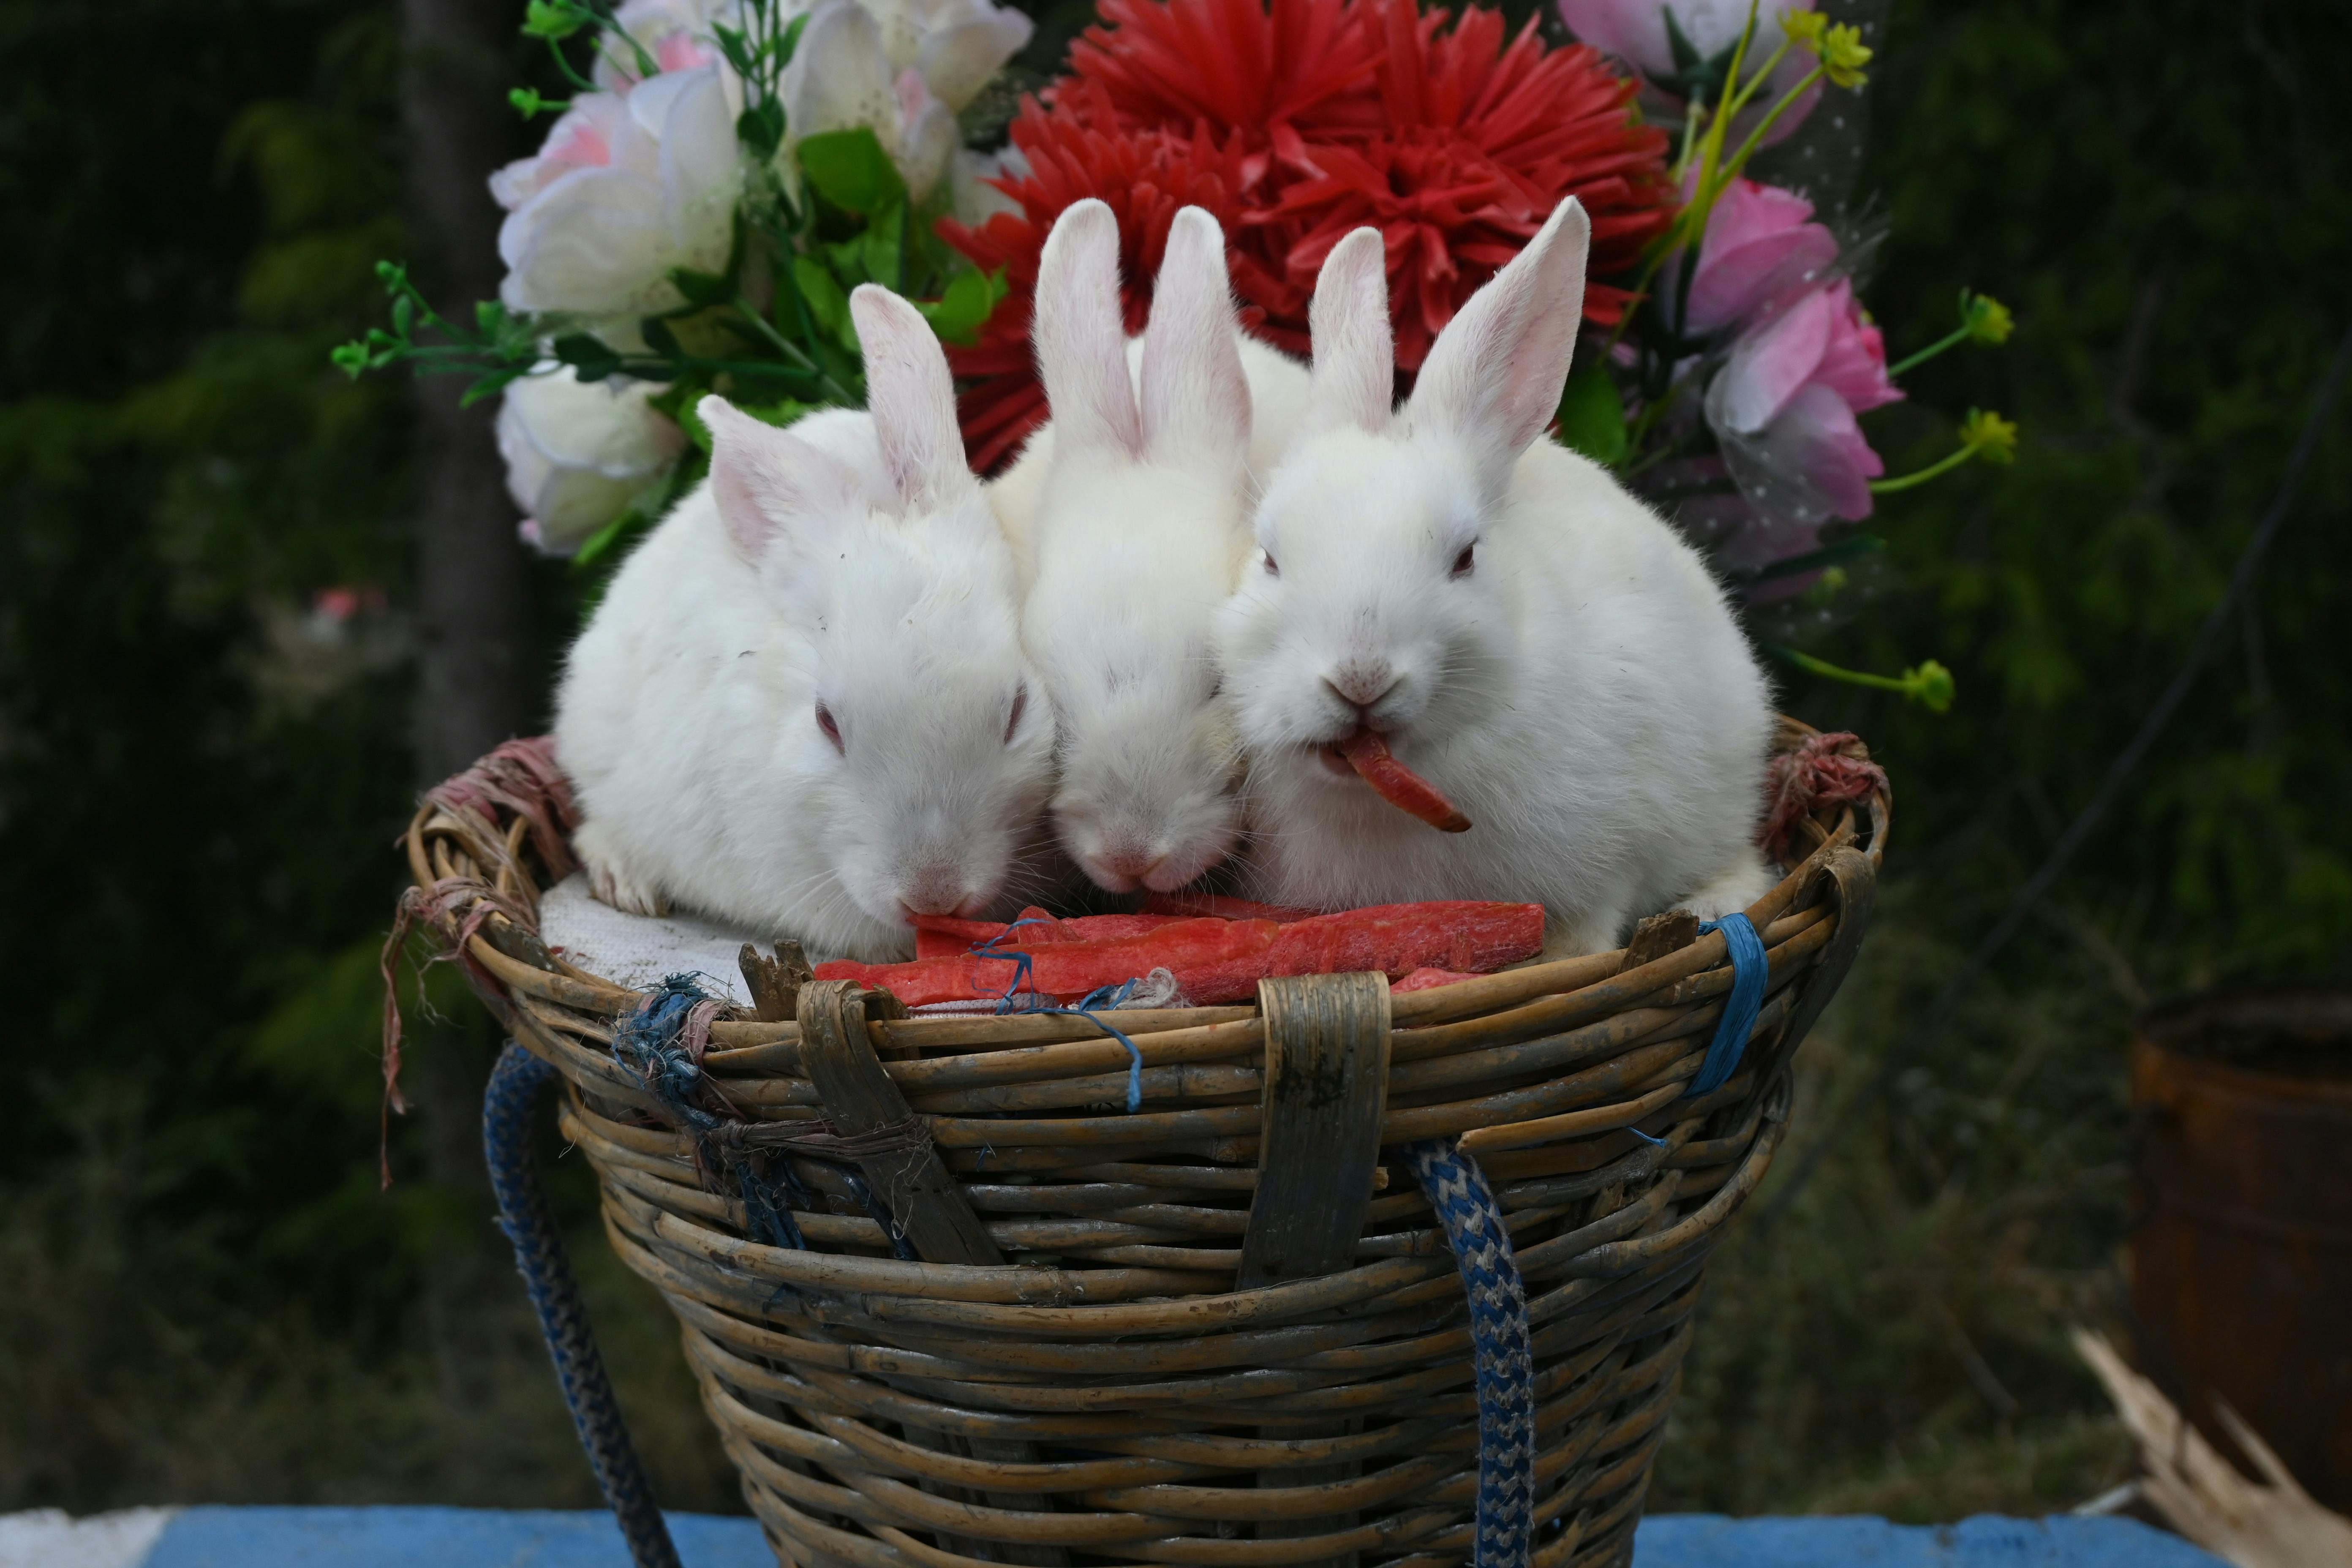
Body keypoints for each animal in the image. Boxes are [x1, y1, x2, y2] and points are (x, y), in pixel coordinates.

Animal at [1214, 197, 1776, 956]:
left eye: (1464, 558)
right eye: (1270, 558)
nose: (1360, 679)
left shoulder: (1617, 849)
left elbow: (1597, 915)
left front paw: (1573, 956)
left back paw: (1720, 902)